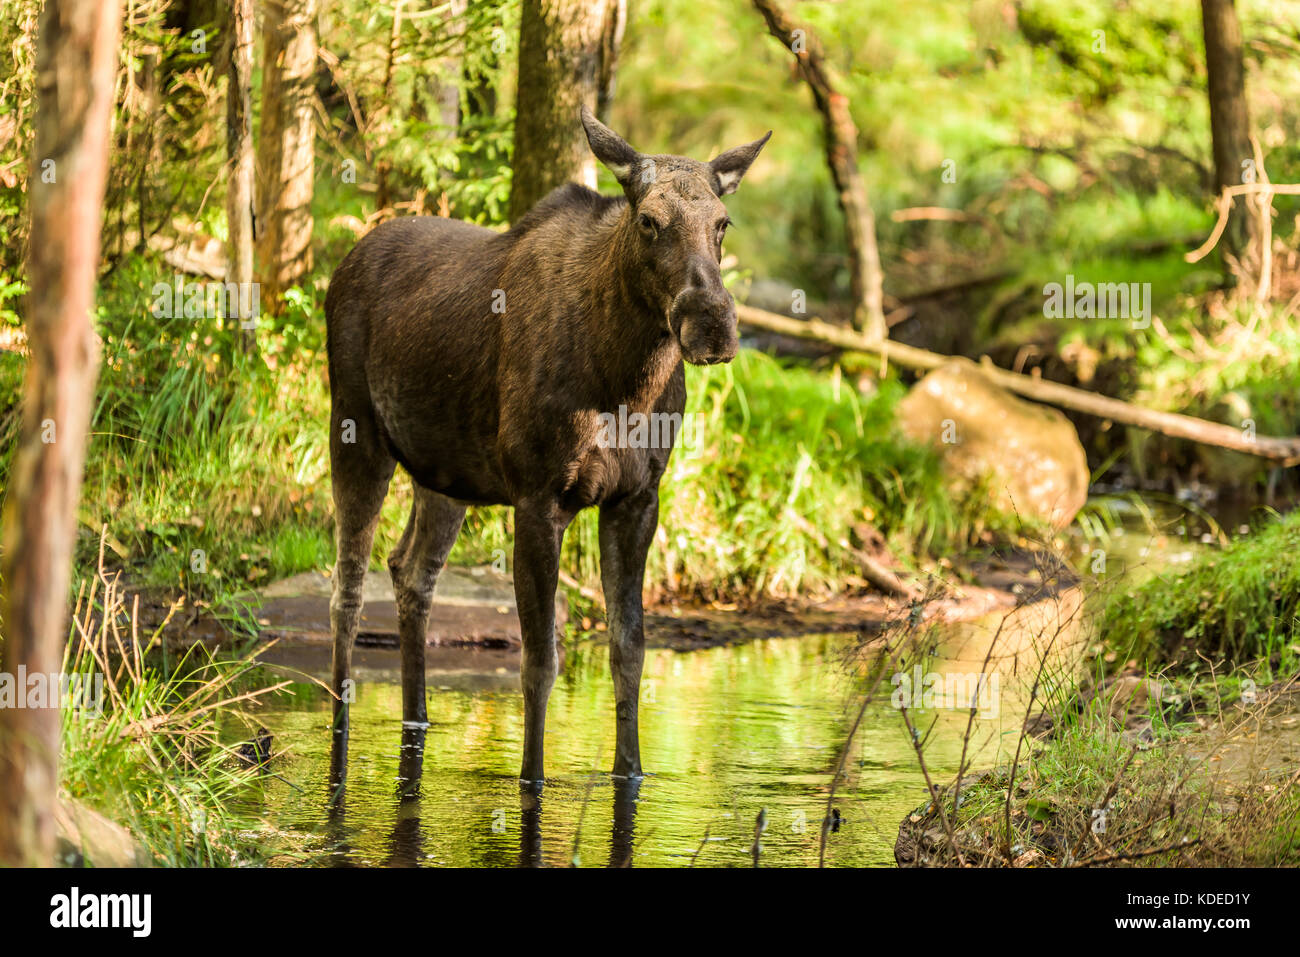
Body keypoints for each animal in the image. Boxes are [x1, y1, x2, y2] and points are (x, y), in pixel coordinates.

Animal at [324, 106, 770, 782]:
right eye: (648, 220)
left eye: (723, 223)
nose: (712, 323)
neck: (625, 381)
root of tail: (344, 263)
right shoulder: (538, 497)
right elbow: (540, 660)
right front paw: (530, 777)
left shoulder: (638, 498)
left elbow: (629, 648)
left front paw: (630, 771)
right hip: (354, 430)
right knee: (348, 587)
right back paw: (341, 730)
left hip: (446, 474)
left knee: (410, 571)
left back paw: (417, 717)